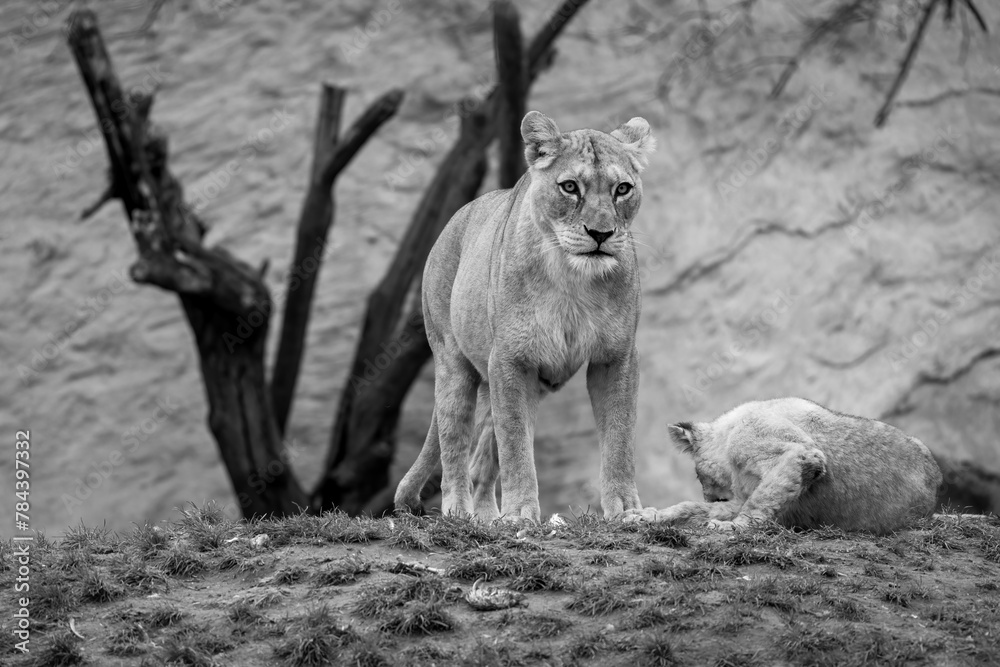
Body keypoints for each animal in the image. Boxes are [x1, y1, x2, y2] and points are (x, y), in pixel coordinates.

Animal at [394, 110, 656, 522]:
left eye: (623, 189)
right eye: (569, 187)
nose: (600, 233)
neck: (572, 278)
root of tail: (456, 218)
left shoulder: (616, 358)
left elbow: (619, 436)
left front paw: (627, 509)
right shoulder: (511, 359)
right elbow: (516, 445)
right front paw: (520, 513)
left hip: (509, 384)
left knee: (481, 459)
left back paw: (488, 519)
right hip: (454, 364)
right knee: (454, 448)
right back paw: (459, 512)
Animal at [624, 398, 942, 534]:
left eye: (697, 475)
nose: (710, 496)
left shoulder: (799, 454)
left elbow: (758, 504)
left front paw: (734, 527)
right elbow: (689, 508)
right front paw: (646, 516)